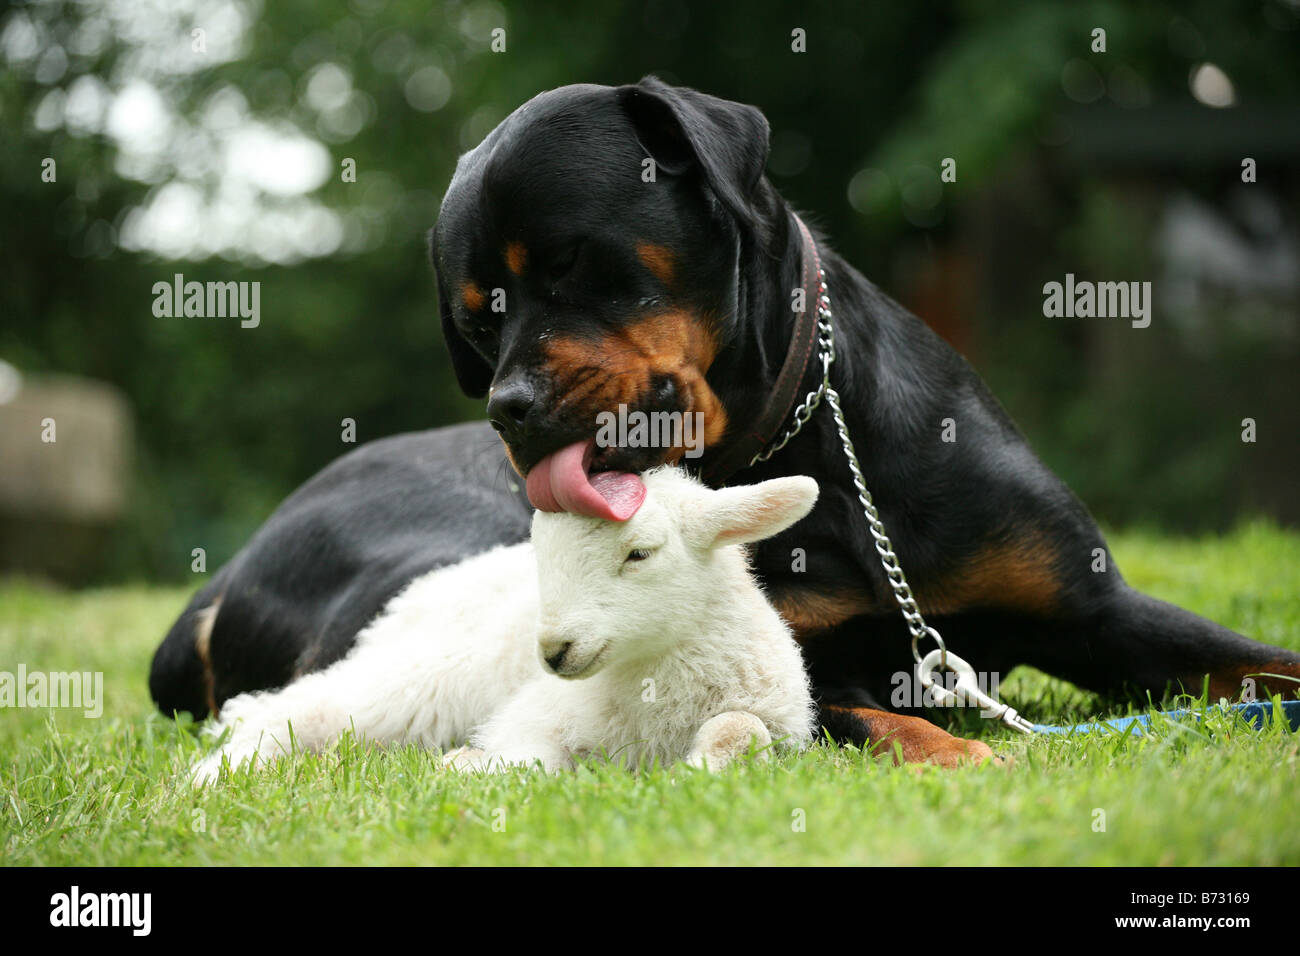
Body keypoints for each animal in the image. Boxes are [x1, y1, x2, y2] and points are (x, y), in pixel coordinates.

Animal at [190, 467, 818, 784]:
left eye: (640, 553)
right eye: (543, 552)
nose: (553, 650)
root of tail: (429, 585)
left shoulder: (773, 724)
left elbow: (740, 729)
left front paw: (706, 765)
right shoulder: (537, 716)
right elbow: (531, 760)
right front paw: (467, 766)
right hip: (420, 678)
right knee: (299, 707)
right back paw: (219, 771)